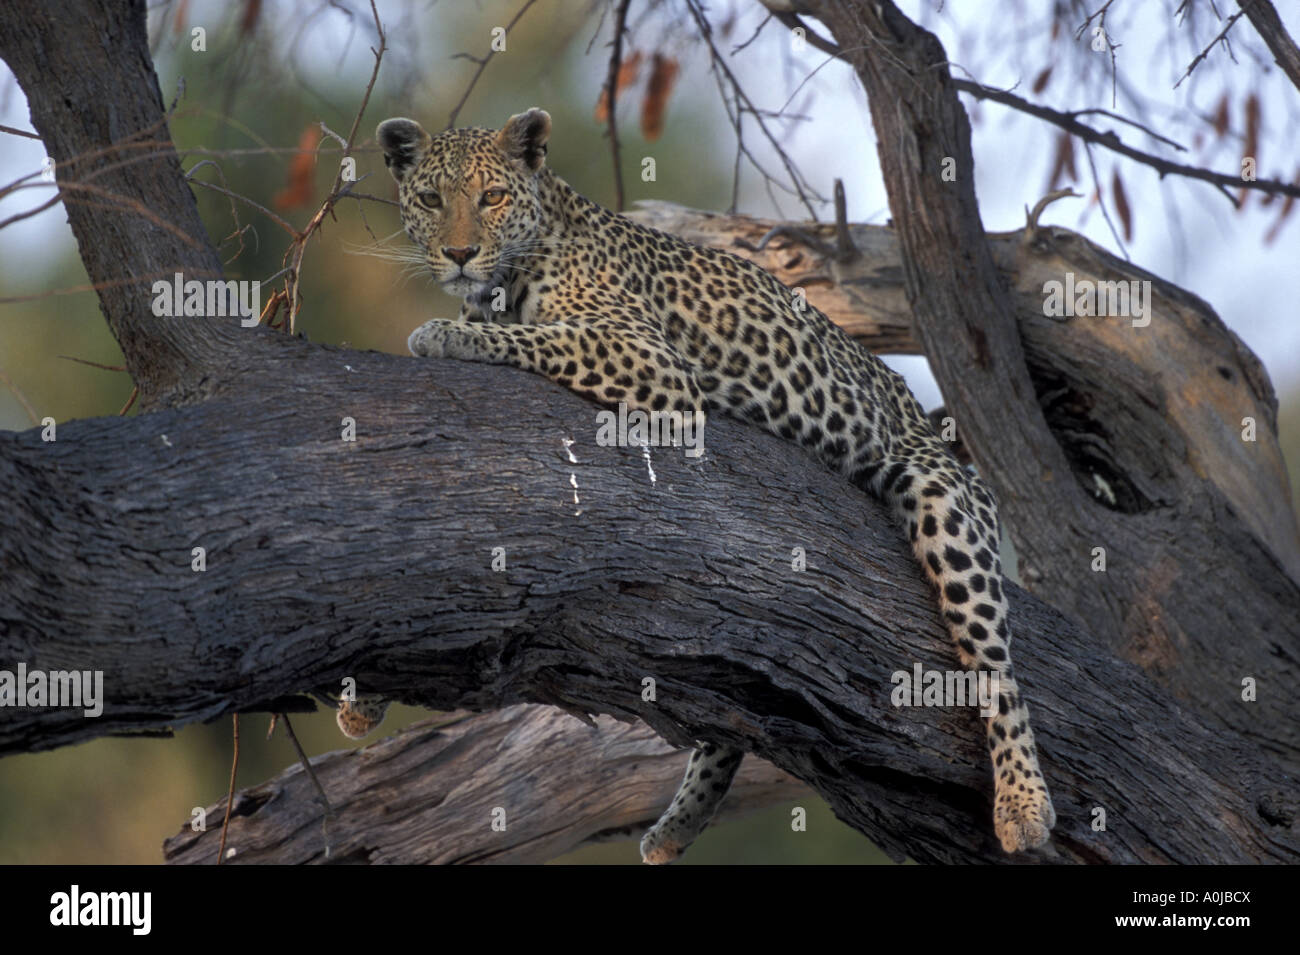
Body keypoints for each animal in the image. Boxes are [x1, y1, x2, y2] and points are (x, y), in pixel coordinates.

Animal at [342, 106, 1056, 863]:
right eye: (429, 200)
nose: (458, 254)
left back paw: (1022, 803)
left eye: (492, 197)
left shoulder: (647, 357)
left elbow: (537, 337)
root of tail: (924, 419)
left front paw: (447, 335)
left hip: (945, 502)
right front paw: (365, 694)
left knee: (996, 666)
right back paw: (676, 825)